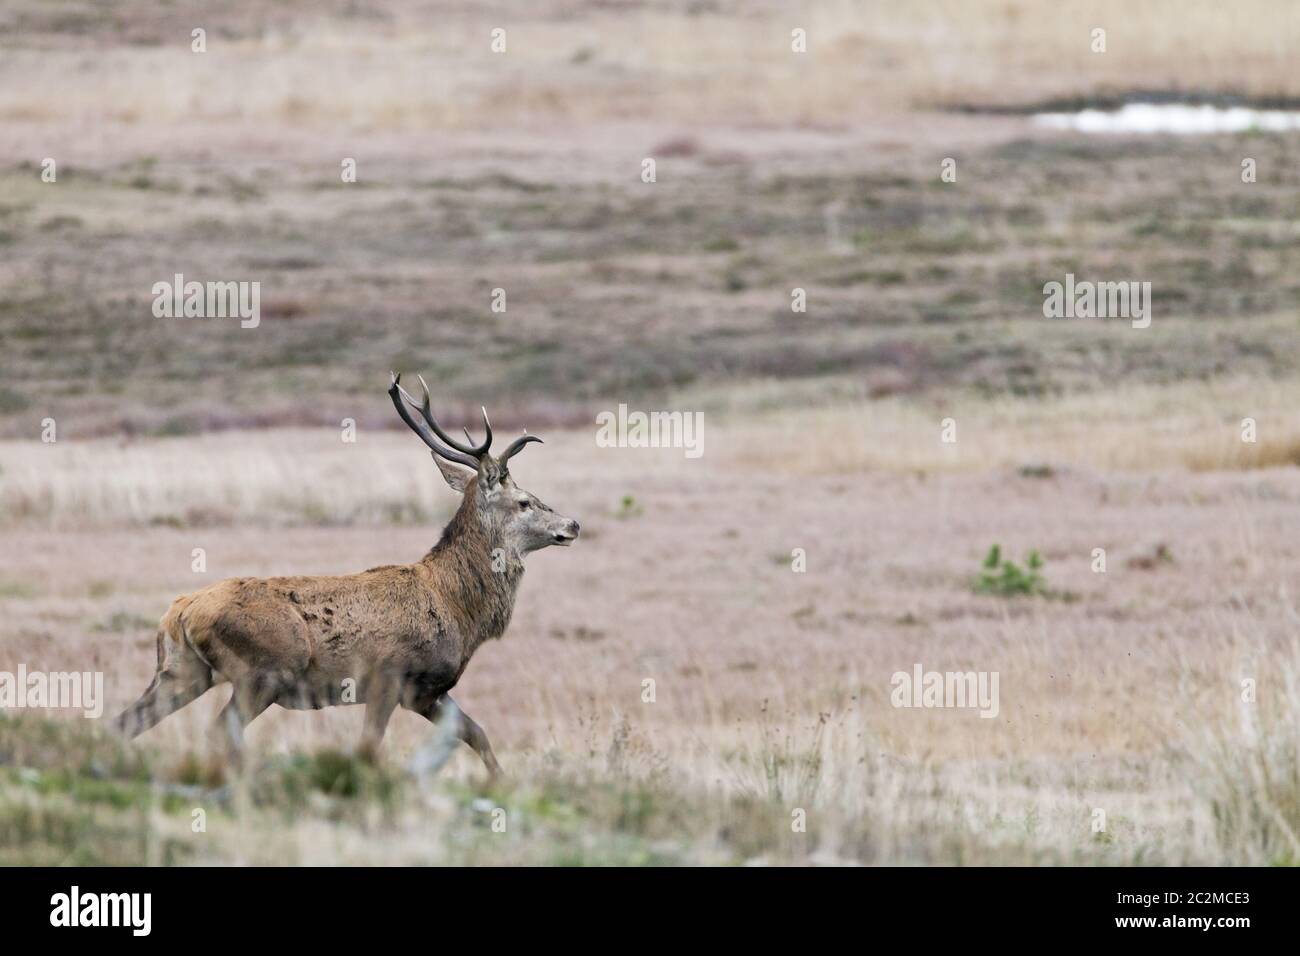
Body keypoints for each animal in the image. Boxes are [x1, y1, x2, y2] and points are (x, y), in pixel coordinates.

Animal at [111, 373, 580, 774]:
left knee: (124, 723)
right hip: (264, 671)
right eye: (524, 501)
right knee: (220, 730)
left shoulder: (428, 690)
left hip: (181, 671)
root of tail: (178, 614)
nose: (572, 524)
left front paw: (500, 783)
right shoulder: (389, 675)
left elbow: (477, 734)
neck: (458, 611)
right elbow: (368, 749)